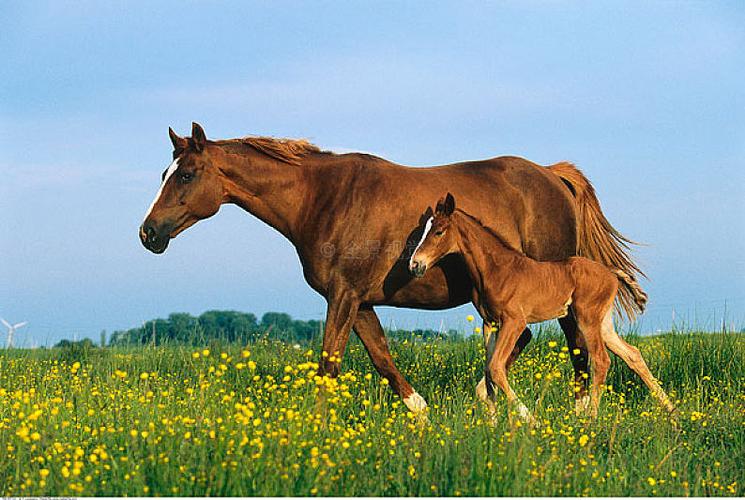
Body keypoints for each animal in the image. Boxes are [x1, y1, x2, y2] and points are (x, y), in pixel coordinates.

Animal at [139, 122, 644, 416]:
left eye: (185, 175)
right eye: (164, 174)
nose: (148, 233)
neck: (323, 198)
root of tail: (552, 174)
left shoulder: (342, 297)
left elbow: (329, 364)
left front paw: (316, 429)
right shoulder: (358, 301)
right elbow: (381, 358)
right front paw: (420, 411)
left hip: (564, 301)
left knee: (579, 352)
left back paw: (577, 416)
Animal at [409, 193, 674, 421]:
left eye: (439, 231)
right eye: (424, 231)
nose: (415, 264)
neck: (496, 269)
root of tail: (610, 272)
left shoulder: (515, 322)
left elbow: (495, 368)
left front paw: (530, 419)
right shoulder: (489, 323)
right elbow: (488, 370)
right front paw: (492, 425)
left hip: (586, 318)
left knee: (601, 359)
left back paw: (591, 419)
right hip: (603, 322)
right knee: (632, 354)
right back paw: (672, 411)